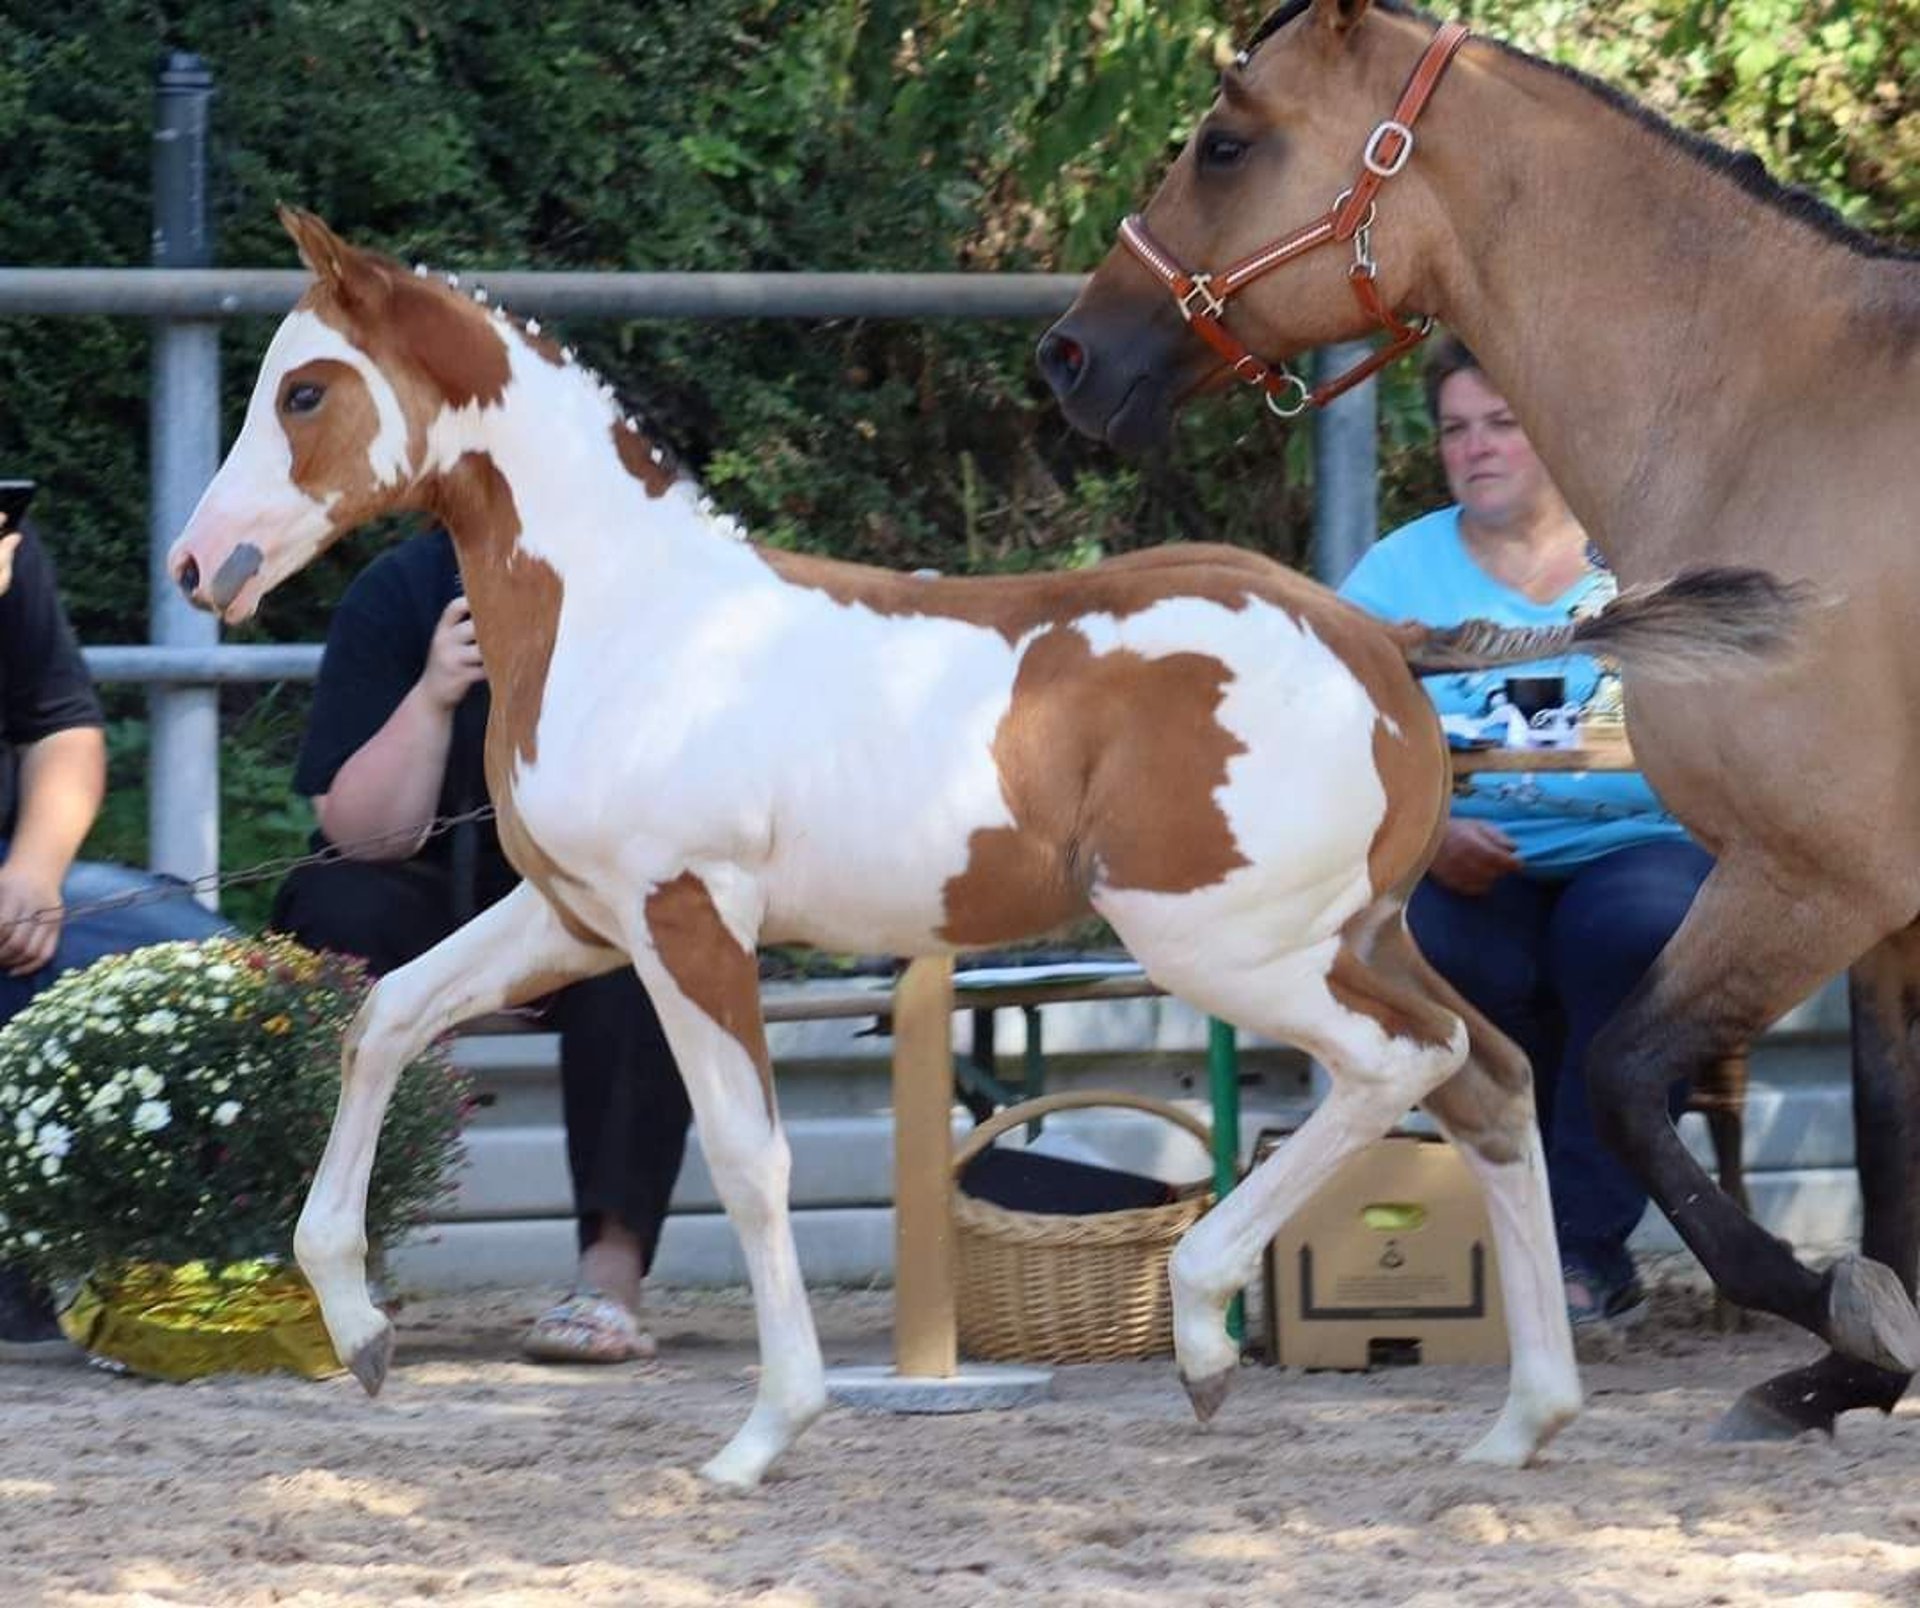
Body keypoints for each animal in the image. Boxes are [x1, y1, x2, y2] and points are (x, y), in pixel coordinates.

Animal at [170, 207, 1805, 1486]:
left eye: (305, 390)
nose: (199, 566)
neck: (634, 624)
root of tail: (1376, 639)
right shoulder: (576, 917)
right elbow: (383, 1018)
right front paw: (362, 1331)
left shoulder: (686, 921)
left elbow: (749, 1160)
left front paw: (763, 1435)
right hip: (1357, 932)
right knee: (1496, 1077)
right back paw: (1523, 1420)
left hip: (1223, 946)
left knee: (1402, 1068)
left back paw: (1208, 1331)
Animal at [1039, 0, 1920, 1444]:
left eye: (1226, 143)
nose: (1067, 354)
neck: (1777, 423)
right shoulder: (1874, 914)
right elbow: (1886, 1140)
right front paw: (1848, 1370)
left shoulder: (1814, 879)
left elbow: (1617, 1079)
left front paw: (1834, 1316)